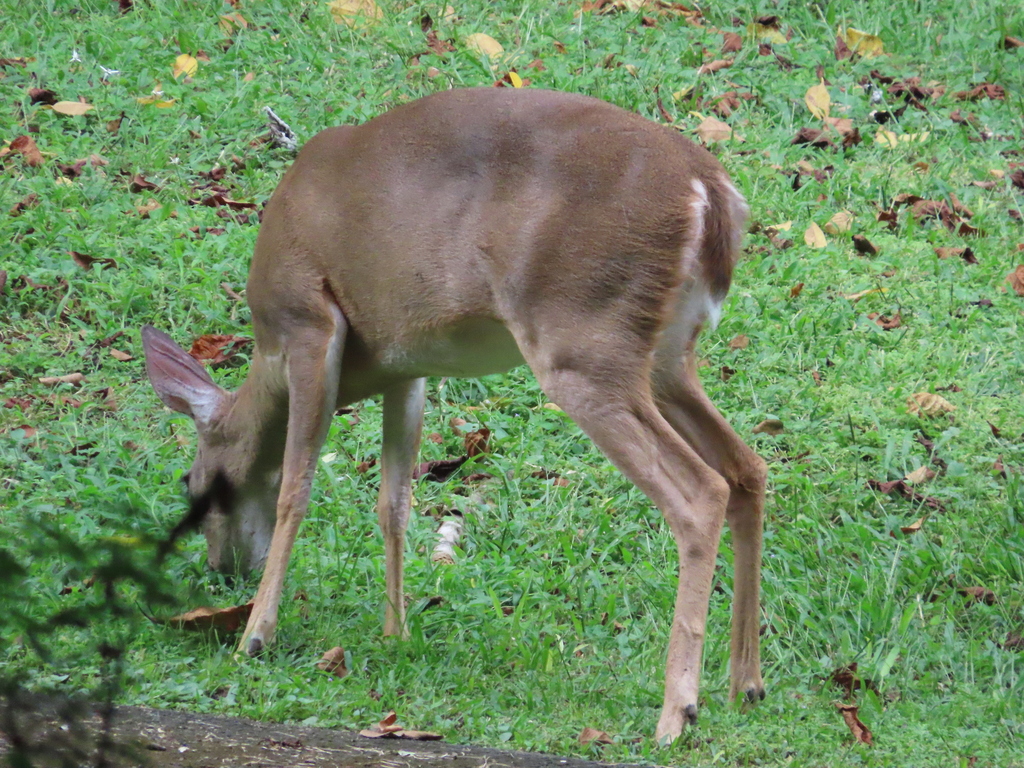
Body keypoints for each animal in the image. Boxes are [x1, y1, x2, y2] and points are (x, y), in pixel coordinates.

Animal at [141, 87, 767, 743]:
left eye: (192, 484)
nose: (223, 572)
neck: (268, 356)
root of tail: (711, 192)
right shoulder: (406, 364)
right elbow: (394, 502)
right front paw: (395, 633)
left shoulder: (310, 322)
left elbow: (295, 488)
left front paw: (255, 634)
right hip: (668, 355)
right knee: (747, 469)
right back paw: (744, 685)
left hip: (582, 339)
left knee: (701, 491)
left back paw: (677, 712)